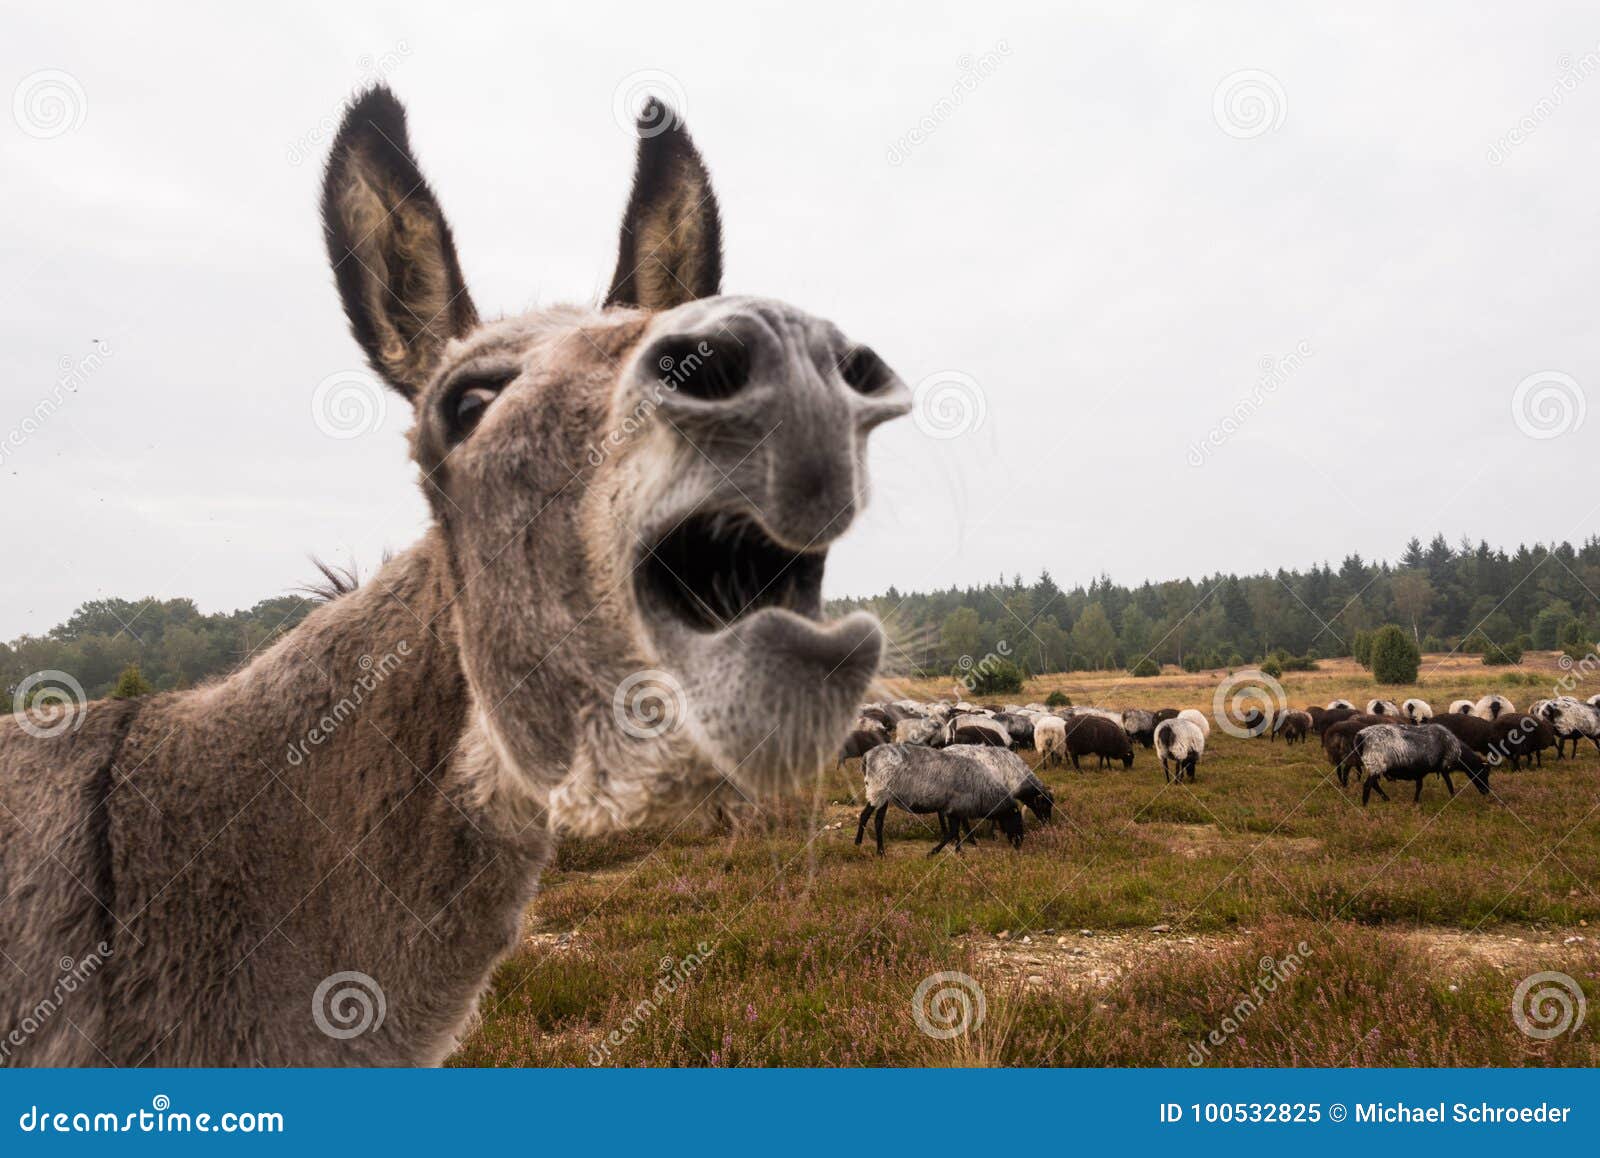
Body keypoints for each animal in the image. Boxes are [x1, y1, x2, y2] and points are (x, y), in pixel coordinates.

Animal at [855, 744, 1025, 855]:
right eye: (1016, 819)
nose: (1020, 843)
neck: (985, 793)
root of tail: (867, 756)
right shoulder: (954, 809)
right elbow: (952, 832)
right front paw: (934, 852)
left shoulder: (955, 810)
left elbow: (955, 831)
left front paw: (959, 850)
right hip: (880, 791)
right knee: (877, 821)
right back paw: (880, 852)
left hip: (878, 793)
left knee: (865, 815)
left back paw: (858, 843)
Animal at [1352, 723, 1490, 806]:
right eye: (1484, 773)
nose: (1487, 791)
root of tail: (1361, 736)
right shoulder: (1444, 766)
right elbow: (1449, 784)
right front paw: (1453, 798)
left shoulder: (1420, 770)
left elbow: (1419, 786)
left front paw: (1415, 802)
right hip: (1376, 763)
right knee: (1368, 786)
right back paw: (1365, 806)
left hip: (1375, 766)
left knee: (1374, 784)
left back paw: (1386, 799)